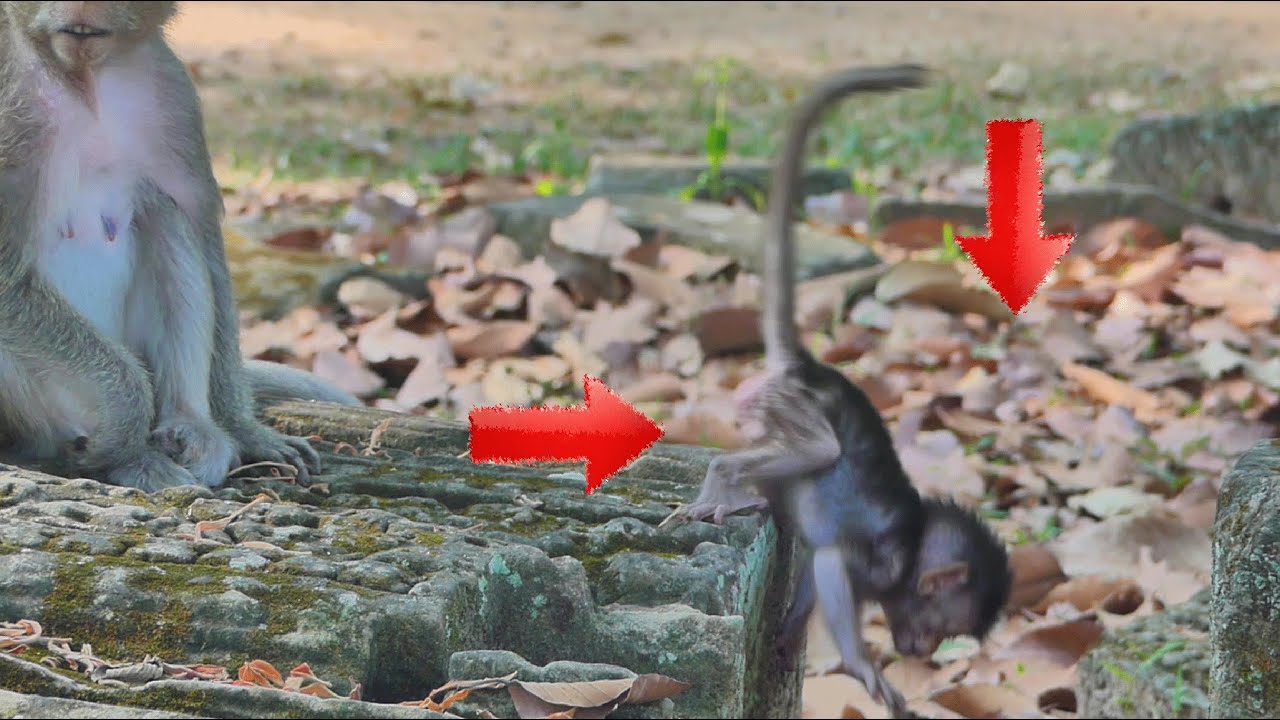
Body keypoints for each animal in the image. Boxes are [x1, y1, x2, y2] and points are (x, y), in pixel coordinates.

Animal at [0, 1, 360, 493]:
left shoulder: (172, 93)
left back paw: (189, 427)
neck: (86, 81)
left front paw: (245, 429)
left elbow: (203, 234)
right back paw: (131, 455)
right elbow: (6, 274)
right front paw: (126, 418)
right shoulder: (11, 110)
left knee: (164, 214)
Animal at [661, 65, 1012, 717]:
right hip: (789, 403)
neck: (915, 545)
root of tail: (814, 371)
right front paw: (860, 665)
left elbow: (810, 572)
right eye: (944, 631)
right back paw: (726, 483)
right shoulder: (883, 564)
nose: (921, 651)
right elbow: (829, 561)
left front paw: (787, 636)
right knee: (818, 451)